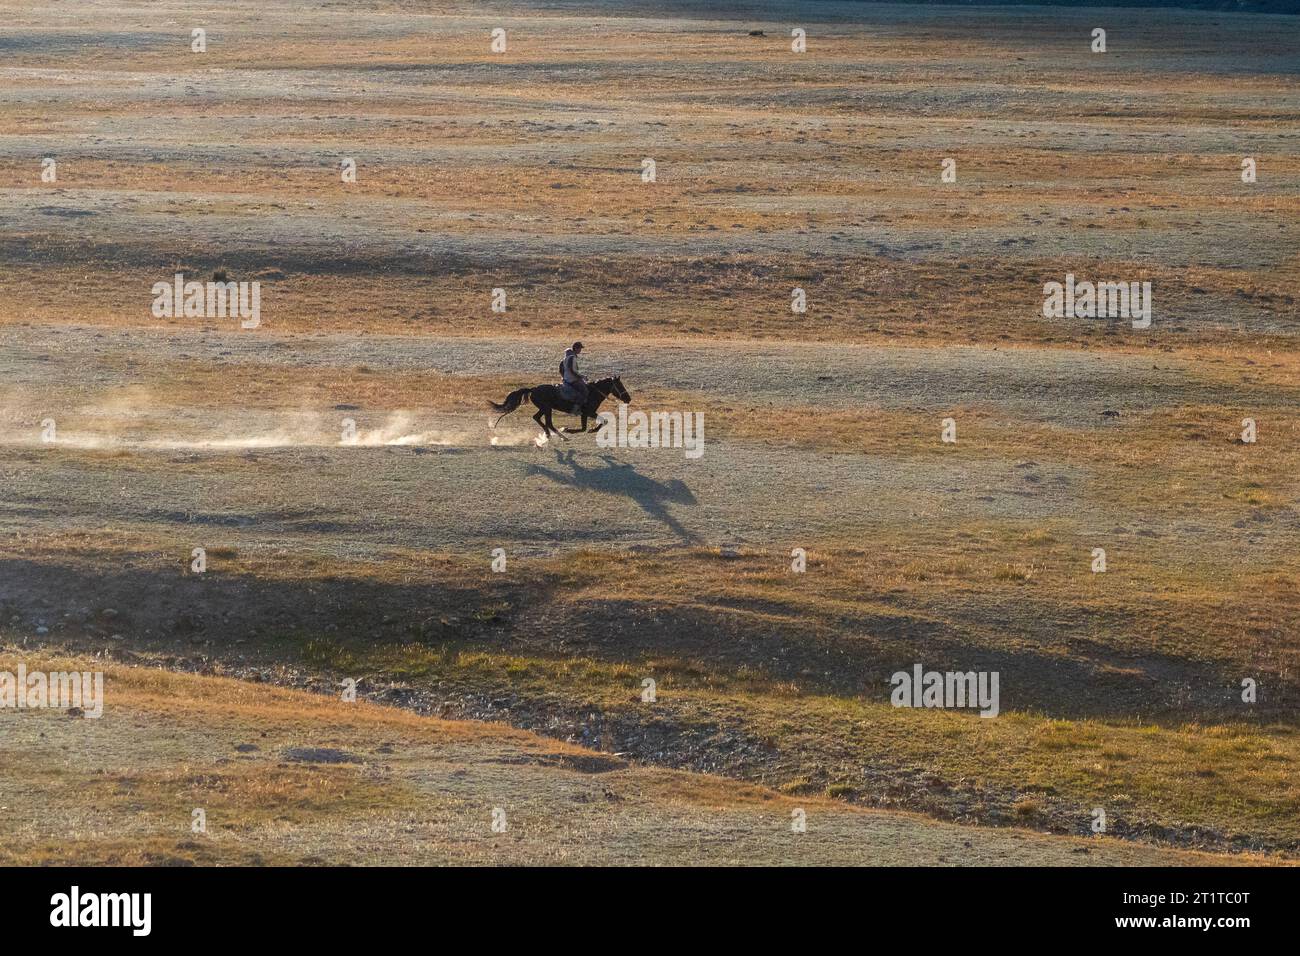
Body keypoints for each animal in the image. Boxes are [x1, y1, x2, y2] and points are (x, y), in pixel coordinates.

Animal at [490, 376, 631, 441]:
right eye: (620, 385)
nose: (628, 398)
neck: (593, 392)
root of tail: (533, 389)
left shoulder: (586, 413)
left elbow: (598, 423)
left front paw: (592, 429)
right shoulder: (588, 412)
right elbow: (590, 425)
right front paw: (570, 430)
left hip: (545, 408)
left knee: (537, 418)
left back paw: (549, 434)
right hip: (547, 408)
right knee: (548, 423)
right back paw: (562, 435)